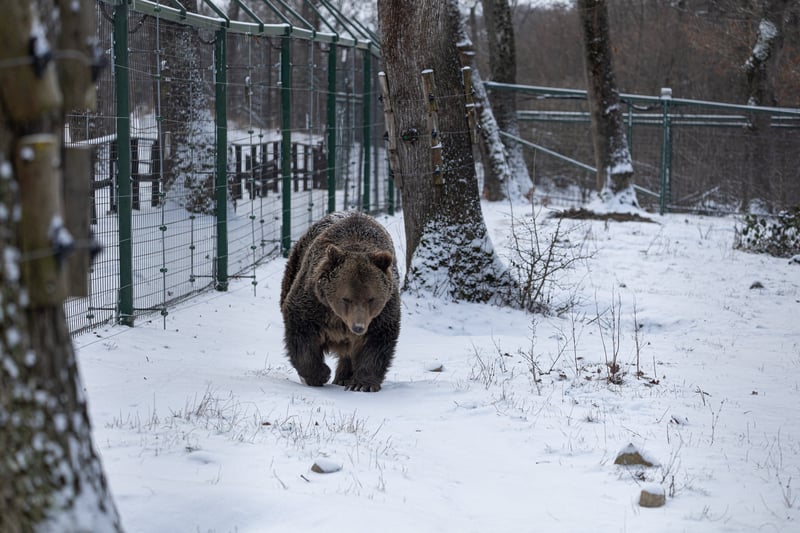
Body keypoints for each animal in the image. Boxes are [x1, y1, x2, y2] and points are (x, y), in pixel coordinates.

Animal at [280, 211, 401, 392]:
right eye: (346, 298)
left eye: (371, 299)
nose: (358, 327)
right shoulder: (314, 302)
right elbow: (301, 333)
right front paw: (319, 374)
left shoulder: (383, 311)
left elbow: (377, 342)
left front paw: (362, 383)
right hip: (295, 266)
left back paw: (344, 378)